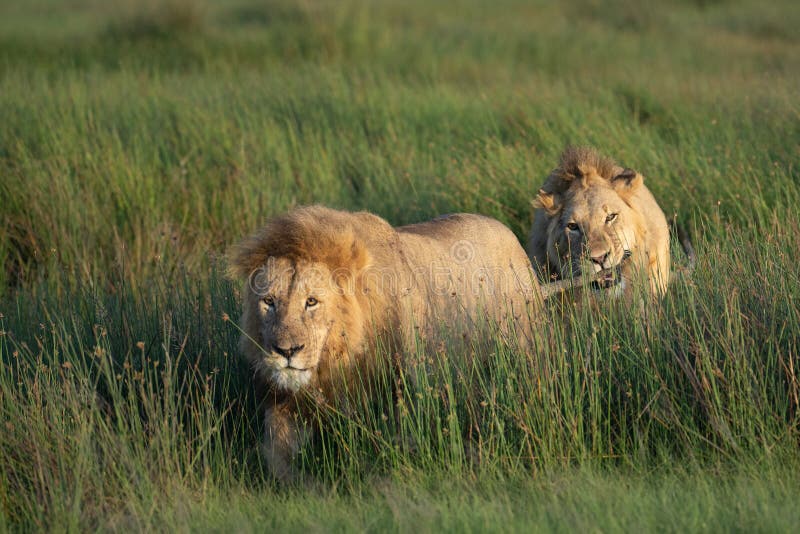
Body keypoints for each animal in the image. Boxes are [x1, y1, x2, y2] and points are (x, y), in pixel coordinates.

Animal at [229, 205, 541, 481]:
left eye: (311, 302)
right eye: (269, 301)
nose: (286, 351)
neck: (335, 363)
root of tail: (509, 233)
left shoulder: (399, 396)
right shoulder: (286, 406)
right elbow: (277, 460)